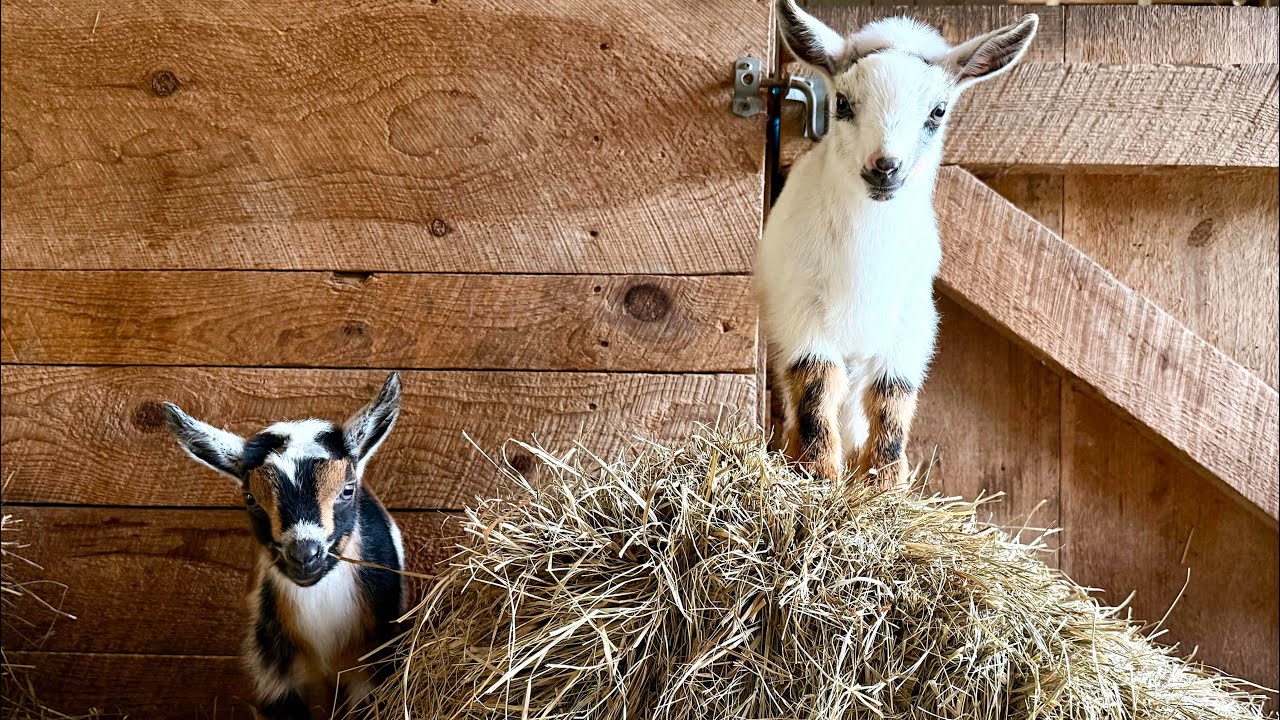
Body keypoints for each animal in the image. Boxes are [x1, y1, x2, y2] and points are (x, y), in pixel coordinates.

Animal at [759, 0, 1038, 486]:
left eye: (938, 111)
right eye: (842, 103)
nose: (884, 166)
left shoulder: (911, 318)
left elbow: (892, 395)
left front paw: (886, 483)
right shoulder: (802, 308)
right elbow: (814, 382)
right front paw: (817, 471)